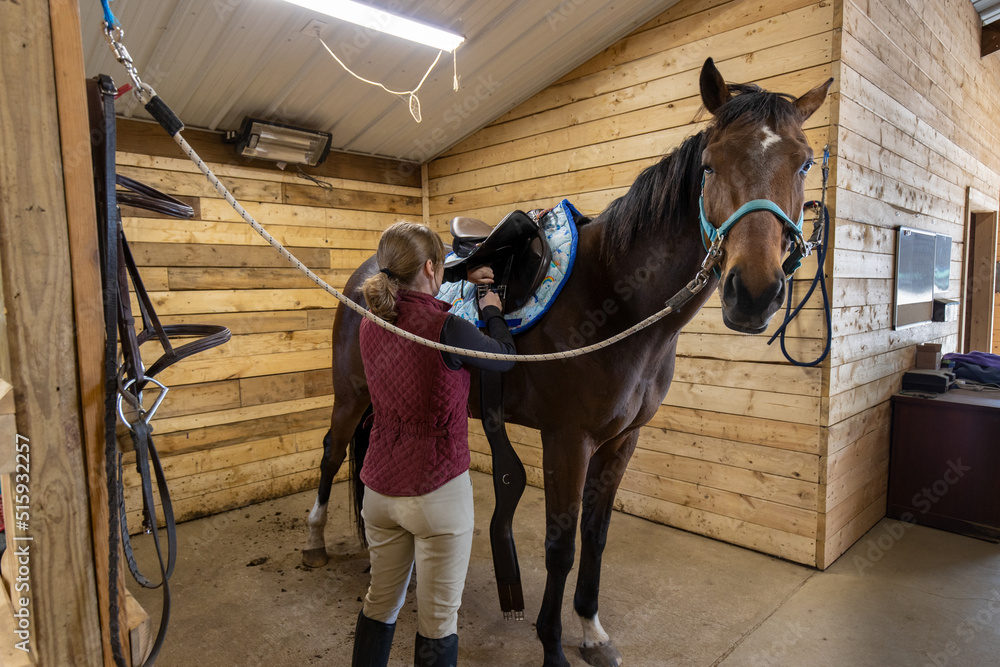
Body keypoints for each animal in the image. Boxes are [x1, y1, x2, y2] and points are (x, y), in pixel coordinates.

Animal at [303, 57, 832, 667]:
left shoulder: (621, 441)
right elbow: (561, 544)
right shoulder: (567, 441)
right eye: (710, 164)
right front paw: (552, 644)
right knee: (332, 452)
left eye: (804, 163)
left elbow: (596, 536)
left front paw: (591, 629)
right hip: (351, 395)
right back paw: (314, 541)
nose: (754, 294)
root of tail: (371, 274)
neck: (615, 297)